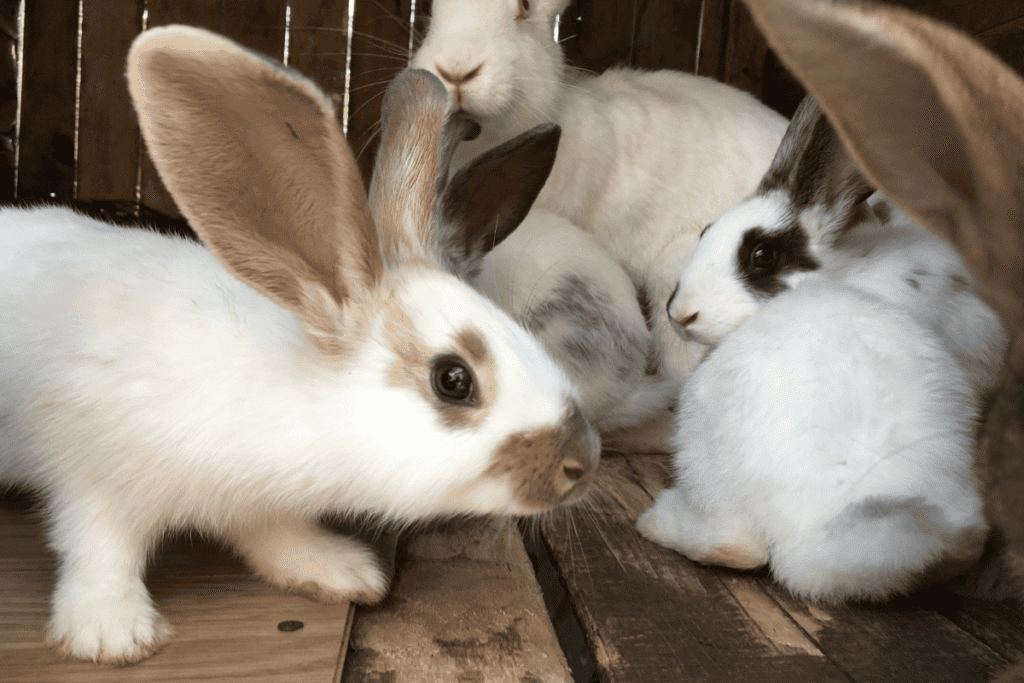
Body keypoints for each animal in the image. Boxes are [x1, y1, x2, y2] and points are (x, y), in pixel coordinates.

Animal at [0, 28, 599, 665]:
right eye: (453, 379)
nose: (583, 462)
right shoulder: (93, 475)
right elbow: (98, 548)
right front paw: (112, 633)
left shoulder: (256, 502)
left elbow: (272, 536)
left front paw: (338, 570)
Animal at [636, 93, 998, 602]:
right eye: (705, 231)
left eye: (761, 256)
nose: (680, 312)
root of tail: (813, 537)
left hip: (705, 452)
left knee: (739, 545)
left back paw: (656, 521)